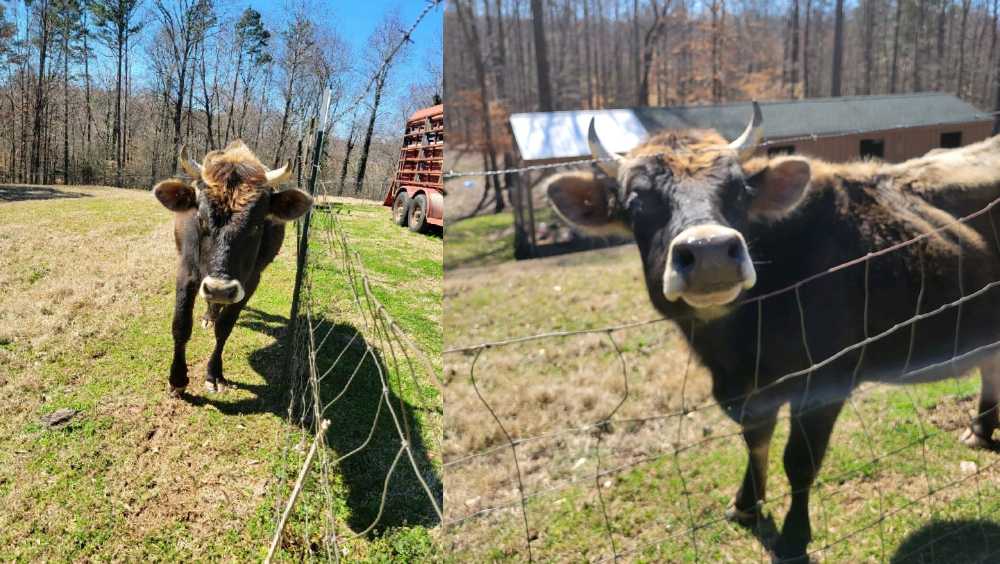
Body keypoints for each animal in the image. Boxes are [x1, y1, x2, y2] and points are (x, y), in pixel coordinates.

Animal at [153, 141, 313, 396]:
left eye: (257, 225)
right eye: (200, 219)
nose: (220, 288)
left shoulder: (250, 281)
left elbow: (225, 327)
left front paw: (214, 374)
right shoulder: (186, 271)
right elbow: (181, 325)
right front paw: (177, 379)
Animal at [544, 103, 1000, 560]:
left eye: (740, 192)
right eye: (636, 201)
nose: (710, 252)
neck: (739, 348)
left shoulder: (825, 382)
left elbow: (799, 460)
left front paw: (795, 535)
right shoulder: (748, 391)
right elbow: (755, 440)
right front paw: (746, 504)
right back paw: (980, 431)